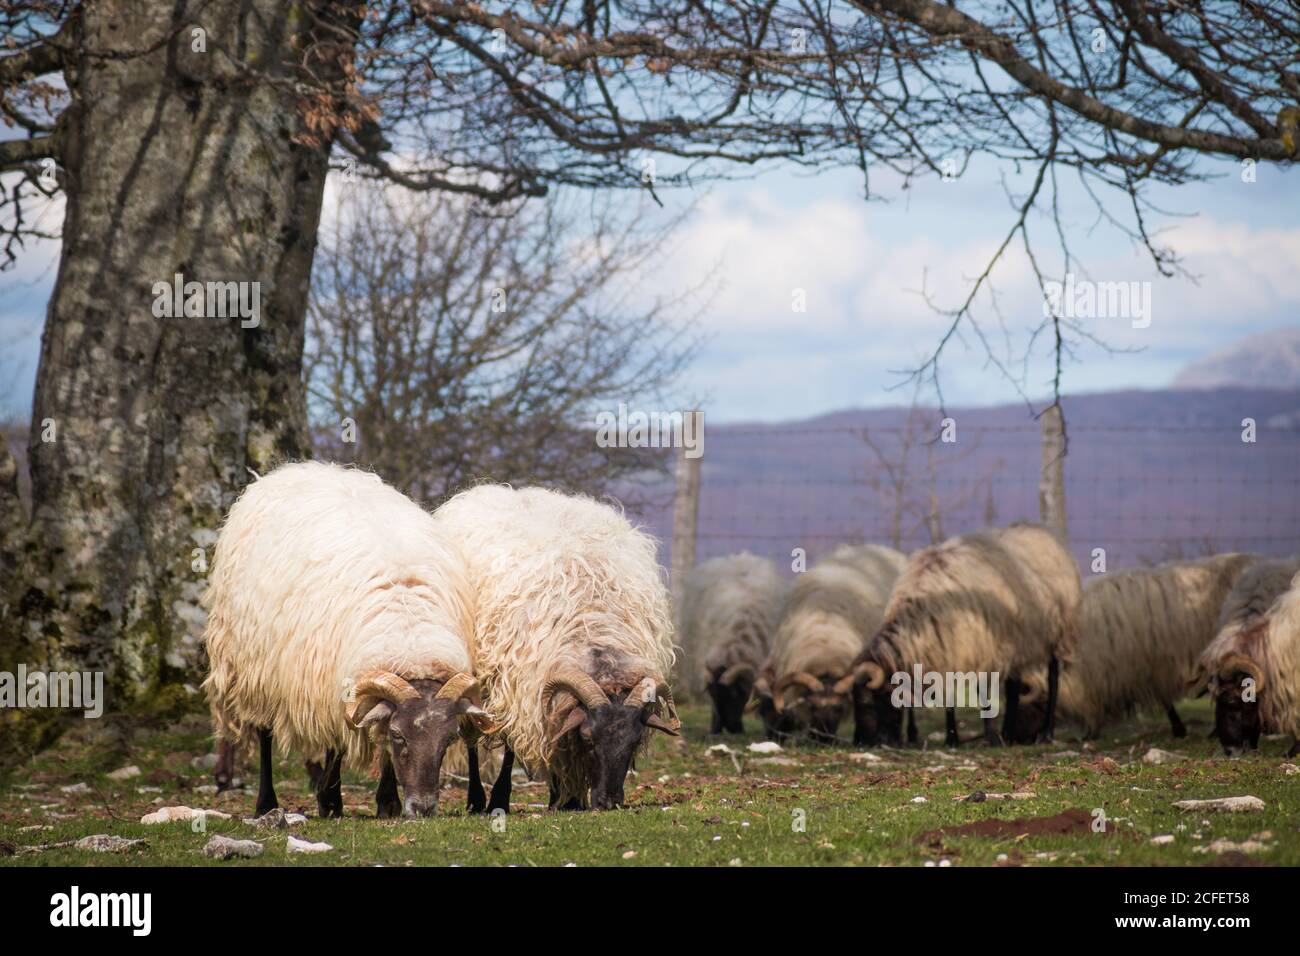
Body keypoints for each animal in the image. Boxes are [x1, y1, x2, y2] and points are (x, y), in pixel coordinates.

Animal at [202, 461, 495, 819]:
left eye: (449, 738)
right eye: (399, 735)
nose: (423, 808)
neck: (409, 637)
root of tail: (295, 468)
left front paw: (387, 801)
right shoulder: (330, 680)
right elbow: (343, 740)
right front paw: (329, 799)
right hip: (256, 665)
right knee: (266, 732)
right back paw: (267, 802)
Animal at [430, 484, 679, 810]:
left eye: (634, 741)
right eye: (589, 739)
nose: (608, 802)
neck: (593, 624)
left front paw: (567, 798)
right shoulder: (519, 685)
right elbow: (515, 745)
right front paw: (504, 799)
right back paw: (476, 800)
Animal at [842, 523, 1080, 747]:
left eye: (870, 702)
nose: (862, 742)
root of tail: (1040, 531)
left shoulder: (983, 648)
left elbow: (984, 694)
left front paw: (991, 738)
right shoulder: (948, 650)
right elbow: (948, 696)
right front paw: (952, 739)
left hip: (1057, 636)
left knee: (1053, 679)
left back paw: (1046, 733)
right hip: (1017, 642)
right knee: (1013, 687)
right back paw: (1008, 734)